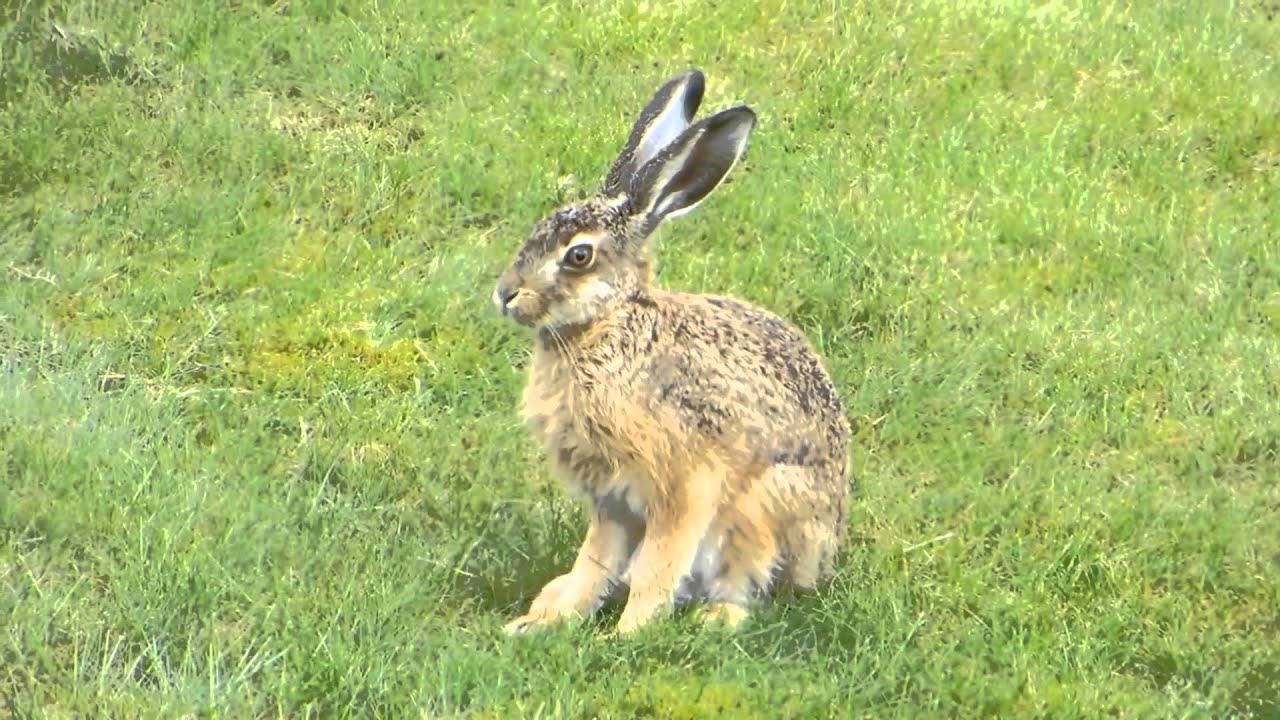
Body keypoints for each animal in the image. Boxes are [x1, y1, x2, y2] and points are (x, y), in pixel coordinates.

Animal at [494, 69, 850, 635]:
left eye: (578, 256)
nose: (505, 295)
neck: (607, 325)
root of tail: (827, 550)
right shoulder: (613, 502)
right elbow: (595, 563)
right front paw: (546, 622)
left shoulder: (682, 482)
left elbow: (657, 565)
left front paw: (627, 634)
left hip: (762, 508)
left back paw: (714, 617)